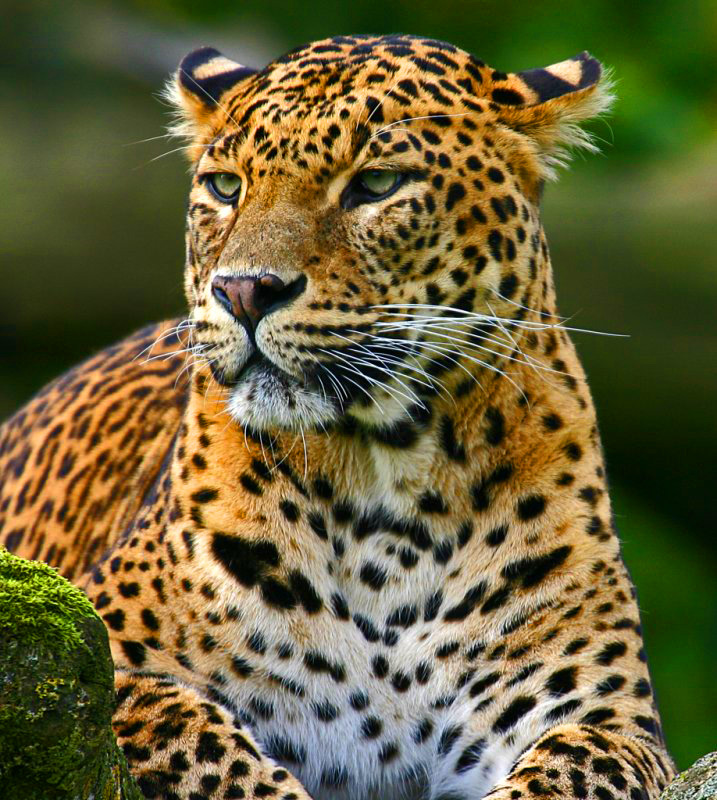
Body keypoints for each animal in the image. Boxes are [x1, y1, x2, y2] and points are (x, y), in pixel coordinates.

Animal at [0, 34, 675, 800]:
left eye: (376, 185)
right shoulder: (105, 659)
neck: (387, 489)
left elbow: (566, 771)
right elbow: (217, 754)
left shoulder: (608, 718)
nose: (243, 290)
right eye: (226, 187)